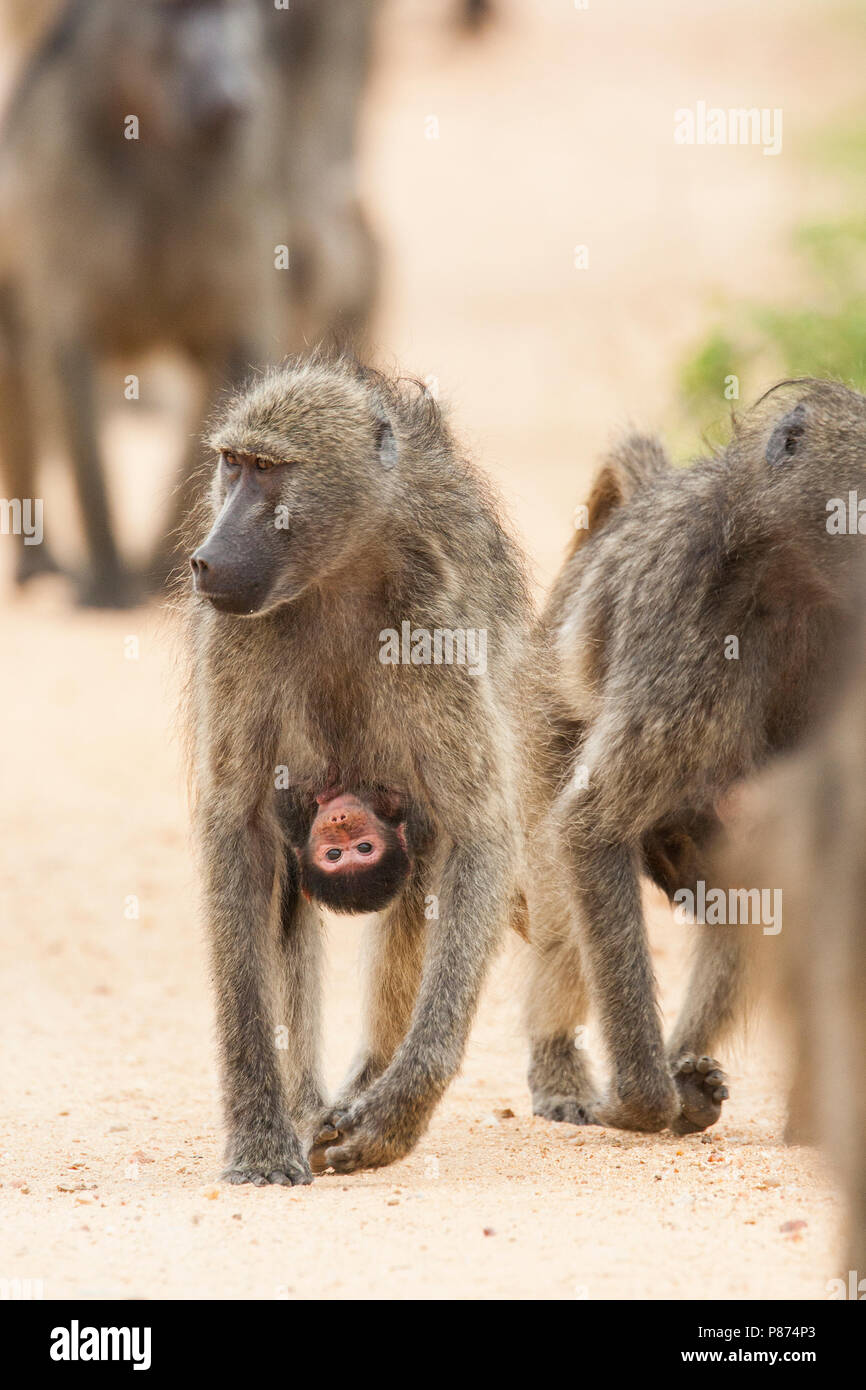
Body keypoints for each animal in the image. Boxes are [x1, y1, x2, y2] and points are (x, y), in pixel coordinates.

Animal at [0, 0, 283, 604]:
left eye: (232, 11)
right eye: (174, 13)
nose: (228, 97)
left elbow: (240, 370)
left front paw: (163, 573)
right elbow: (70, 369)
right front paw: (108, 584)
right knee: (18, 368)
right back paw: (39, 562)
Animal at [183, 353, 534, 1184]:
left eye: (269, 473)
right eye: (232, 465)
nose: (205, 559)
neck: (339, 570)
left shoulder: (434, 620)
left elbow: (481, 833)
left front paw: (399, 1108)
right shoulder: (235, 636)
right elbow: (238, 831)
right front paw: (260, 1133)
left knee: (428, 870)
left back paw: (369, 1079)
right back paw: (305, 1103)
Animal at [523, 380, 866, 1136]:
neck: (793, 571)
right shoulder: (686, 606)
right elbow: (591, 825)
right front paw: (638, 1101)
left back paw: (695, 1075)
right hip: (543, 724)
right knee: (562, 886)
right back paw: (574, 1071)